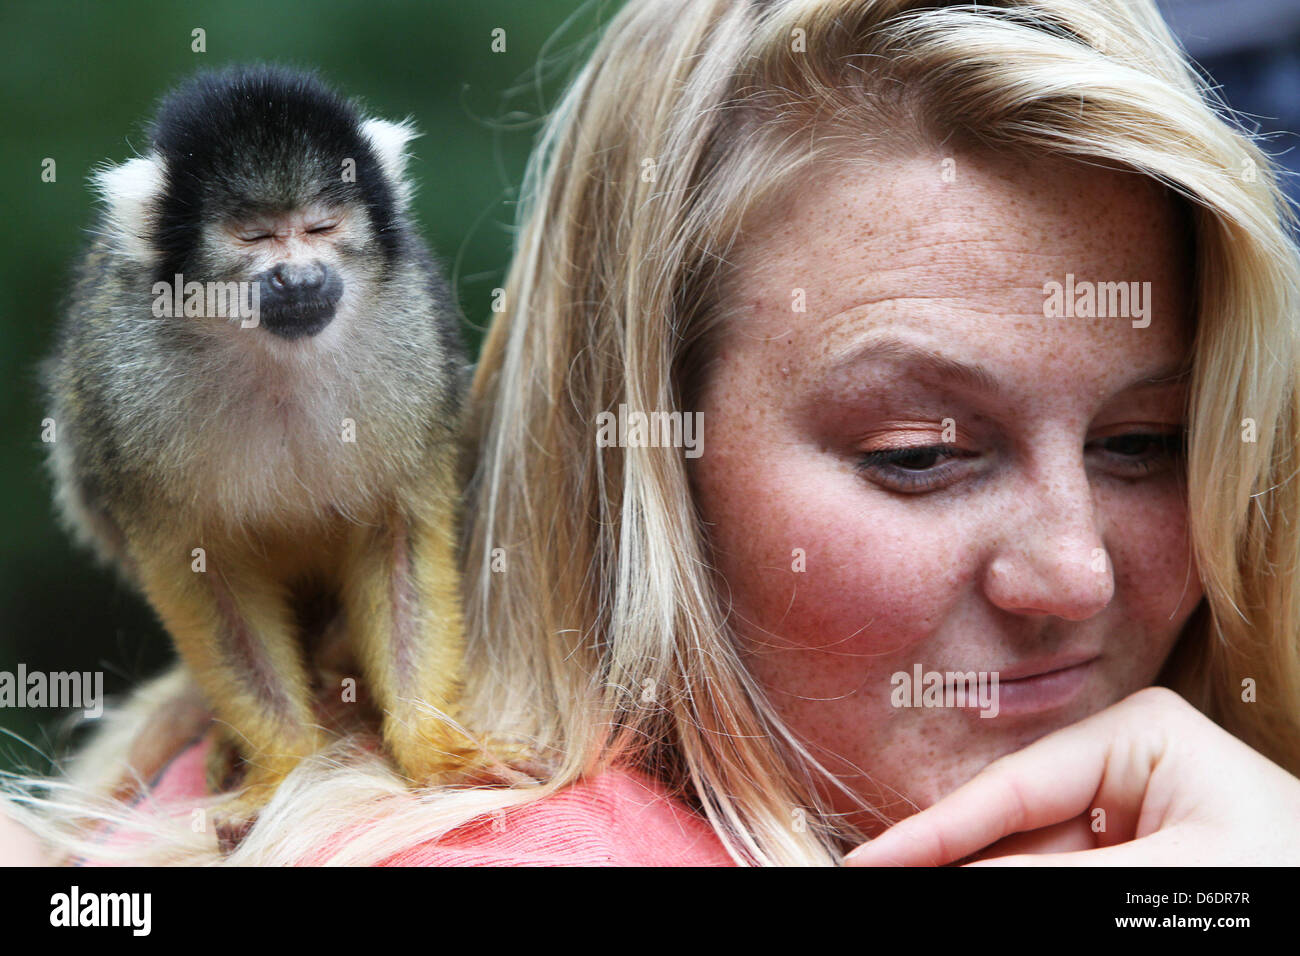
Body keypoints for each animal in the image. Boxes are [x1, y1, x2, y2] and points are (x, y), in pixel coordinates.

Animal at [42, 65, 483, 826]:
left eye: (321, 227)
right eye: (253, 236)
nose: (300, 276)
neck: (276, 354)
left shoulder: (415, 336)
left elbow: (398, 538)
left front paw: (432, 748)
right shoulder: (123, 383)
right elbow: (202, 571)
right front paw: (282, 765)